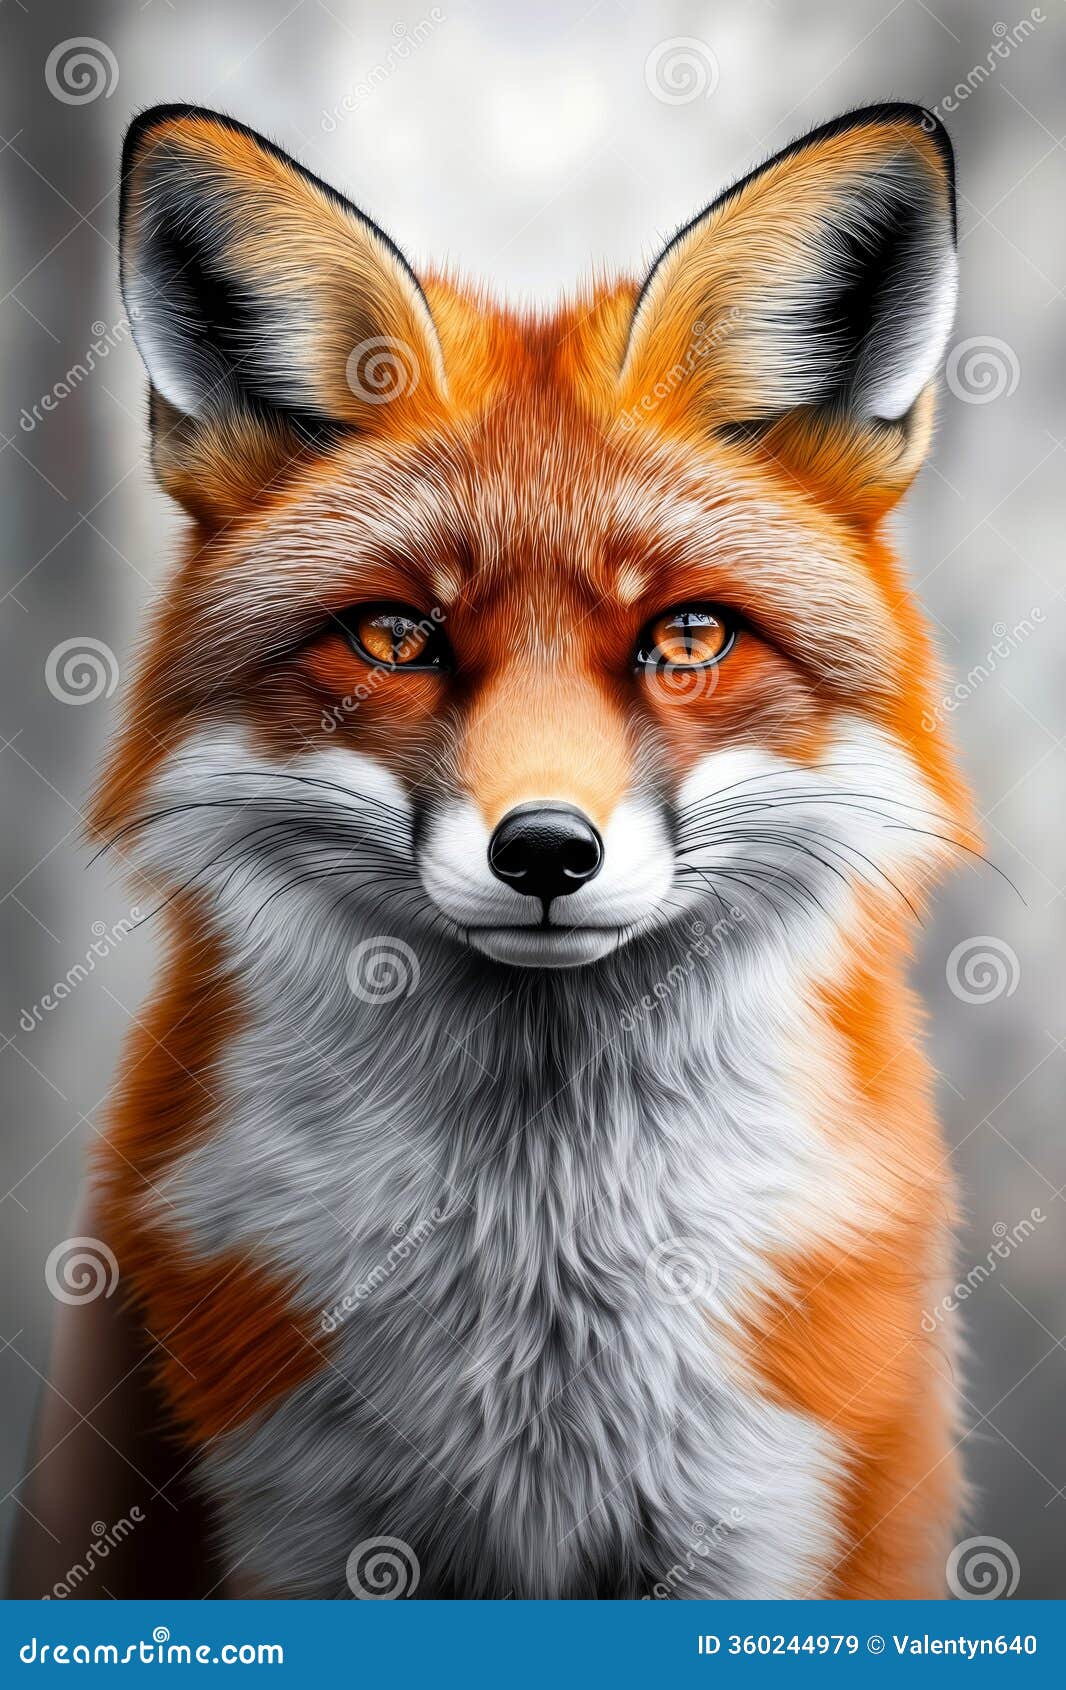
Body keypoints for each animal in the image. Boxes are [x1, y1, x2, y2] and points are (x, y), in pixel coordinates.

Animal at [49, 102, 975, 1599]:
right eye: (396, 637)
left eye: (686, 636)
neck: (541, 1277)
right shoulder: (297, 1520)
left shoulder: (757, 1523)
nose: (545, 851)